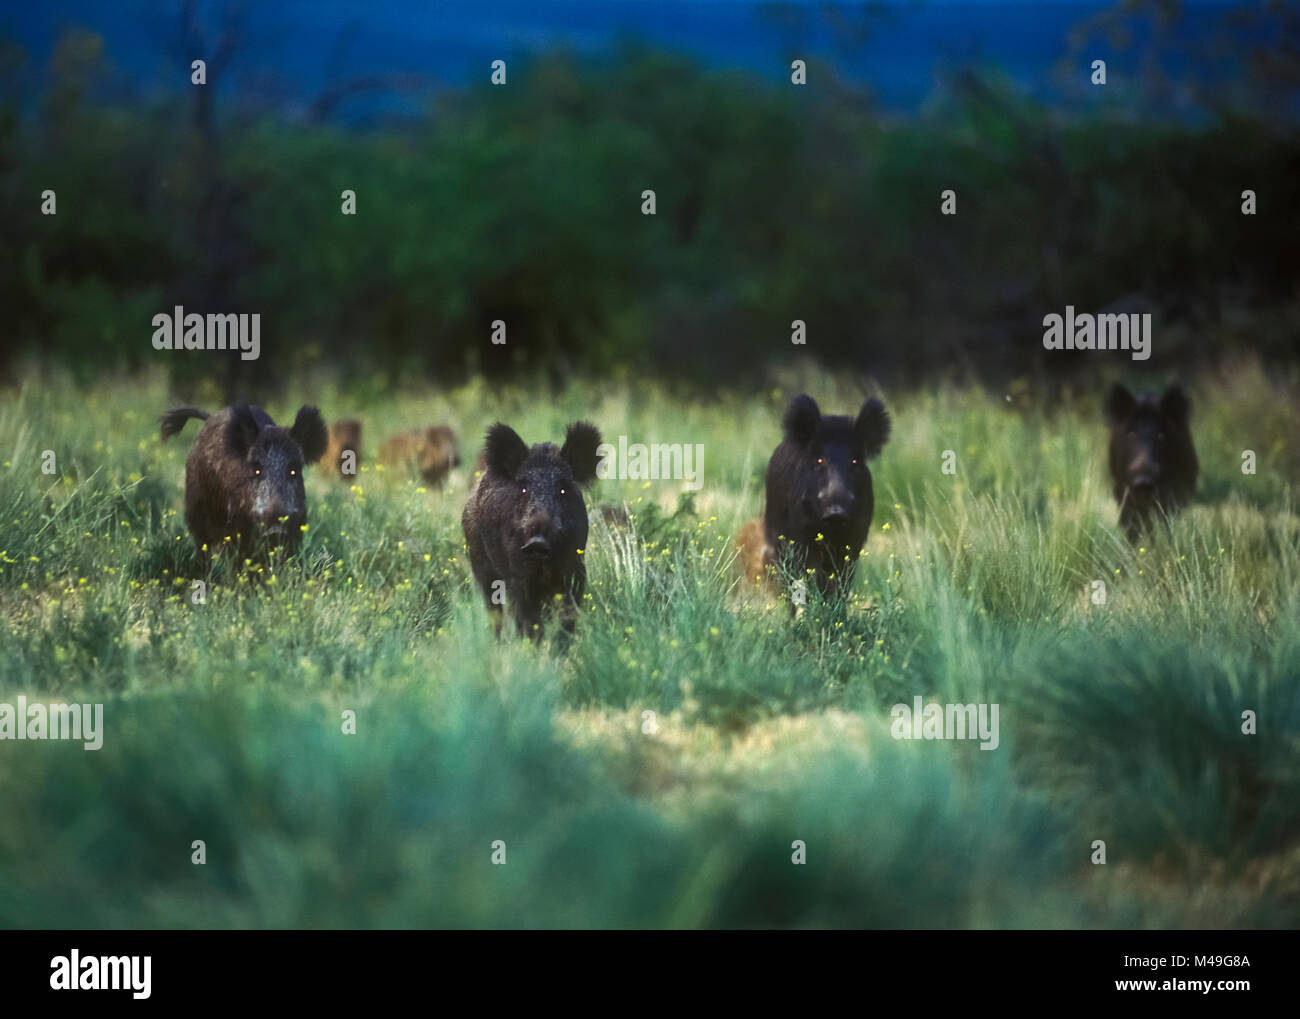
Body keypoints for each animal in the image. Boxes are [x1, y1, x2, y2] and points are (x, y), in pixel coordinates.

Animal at [461, 420, 601, 639]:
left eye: (563, 489)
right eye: (524, 489)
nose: (537, 542)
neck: (544, 566)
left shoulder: (575, 571)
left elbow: (567, 618)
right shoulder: (518, 576)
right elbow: (529, 620)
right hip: (480, 564)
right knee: (494, 610)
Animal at [745, 394, 890, 603]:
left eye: (855, 460)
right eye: (819, 460)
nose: (836, 511)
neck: (830, 532)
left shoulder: (855, 537)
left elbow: (841, 582)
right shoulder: (800, 536)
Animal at [1104, 383, 1198, 541]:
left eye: (1161, 436)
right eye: (1131, 433)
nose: (1143, 482)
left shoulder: (1176, 491)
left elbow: (1165, 521)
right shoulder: (1122, 489)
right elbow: (1131, 525)